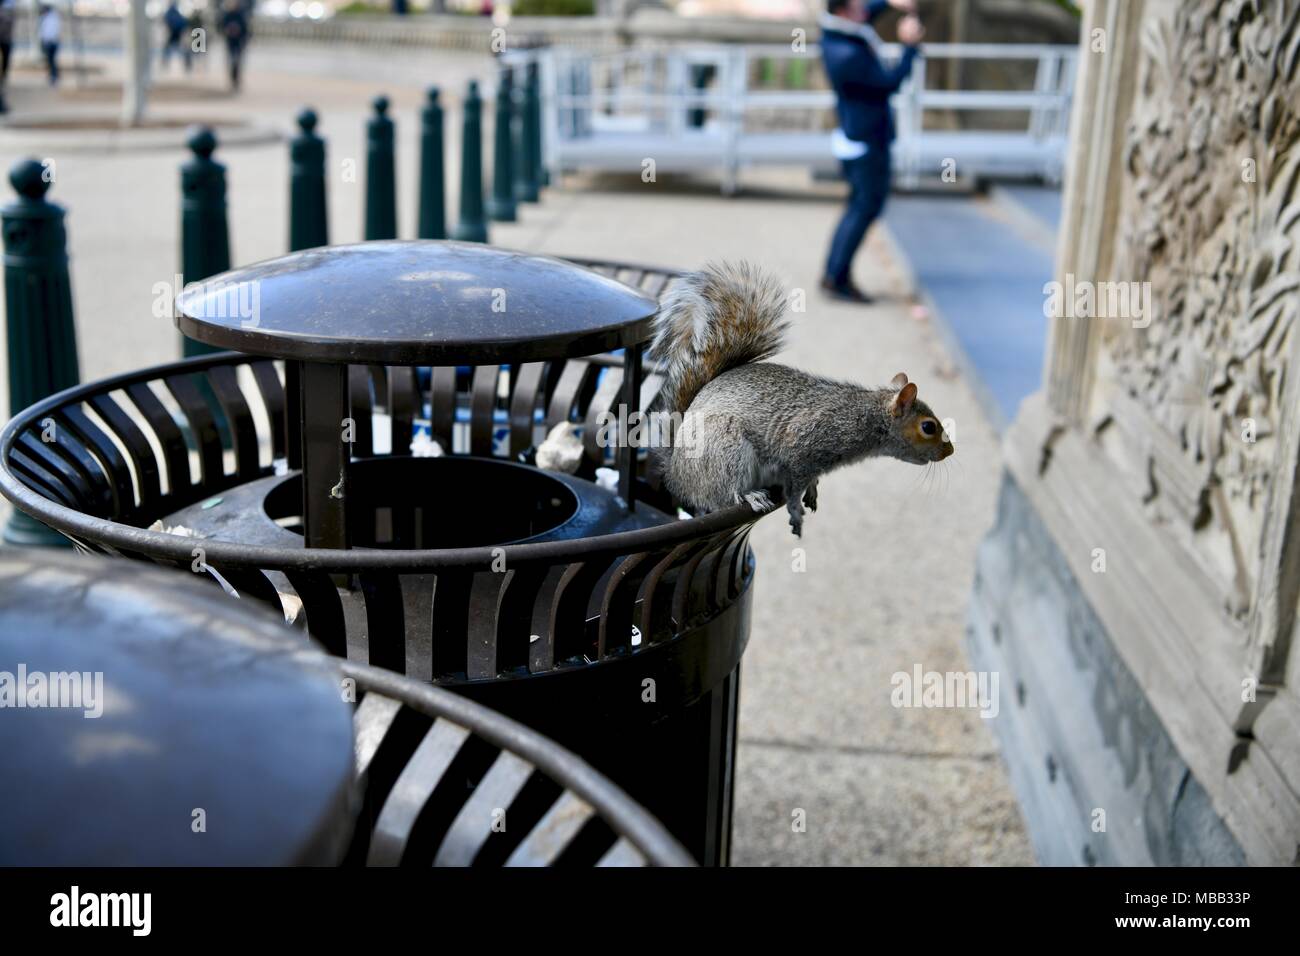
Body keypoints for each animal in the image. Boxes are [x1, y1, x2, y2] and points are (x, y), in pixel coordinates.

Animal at [648, 261, 955, 537]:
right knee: (723, 492)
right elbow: (794, 484)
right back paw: (749, 496)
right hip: (724, 448)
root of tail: (676, 472)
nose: (949, 451)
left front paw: (814, 488)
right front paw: (796, 511)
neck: (864, 416)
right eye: (928, 427)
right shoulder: (803, 445)